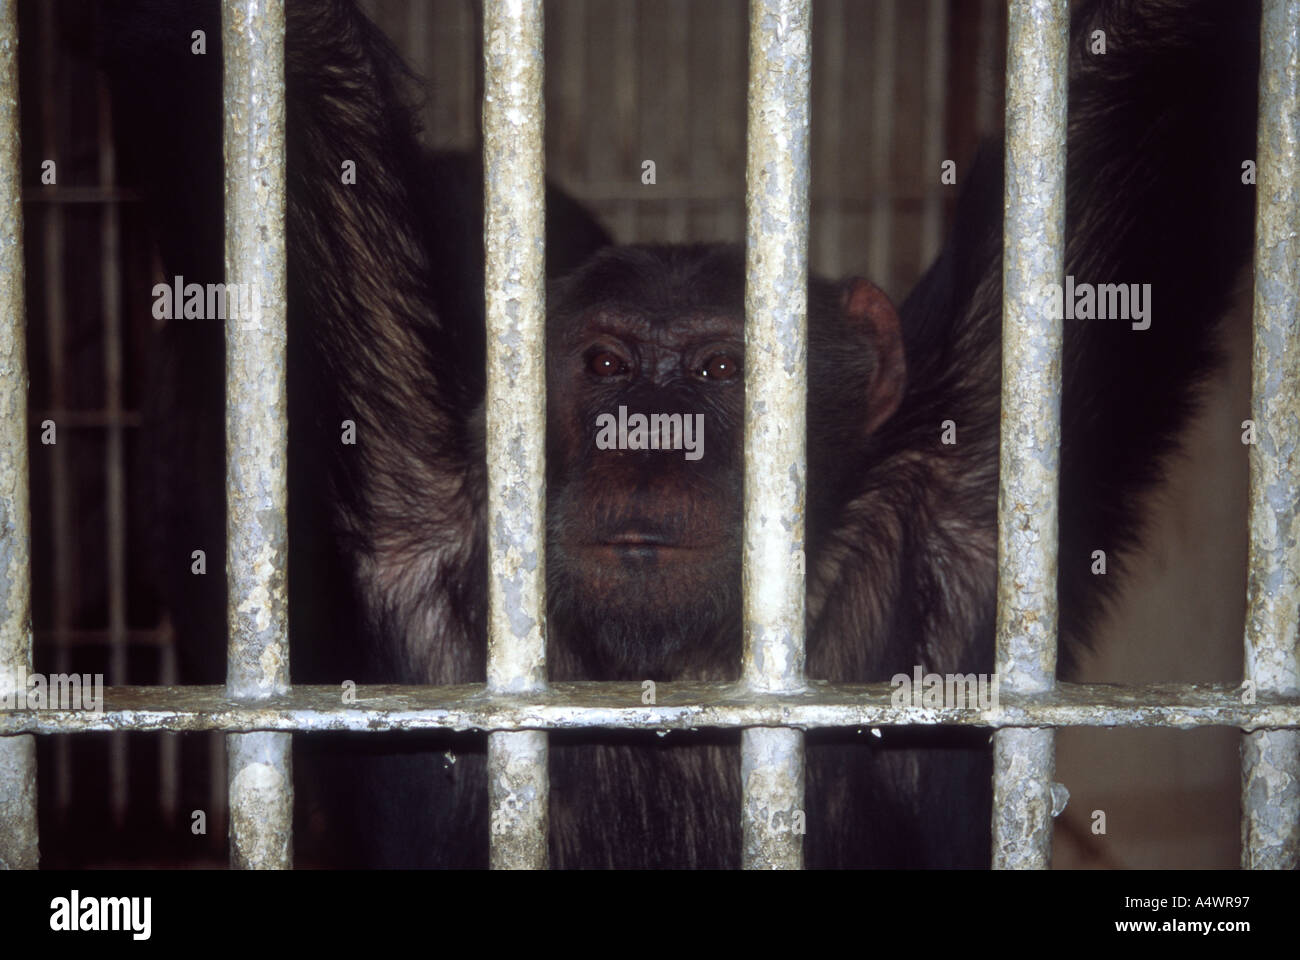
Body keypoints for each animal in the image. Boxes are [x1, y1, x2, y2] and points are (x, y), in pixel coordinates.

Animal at [95, 0, 1261, 867]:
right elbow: (295, 84)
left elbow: (1135, 81)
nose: (647, 436)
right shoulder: (405, 492)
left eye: (720, 371)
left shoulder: (966, 492)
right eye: (608, 367)